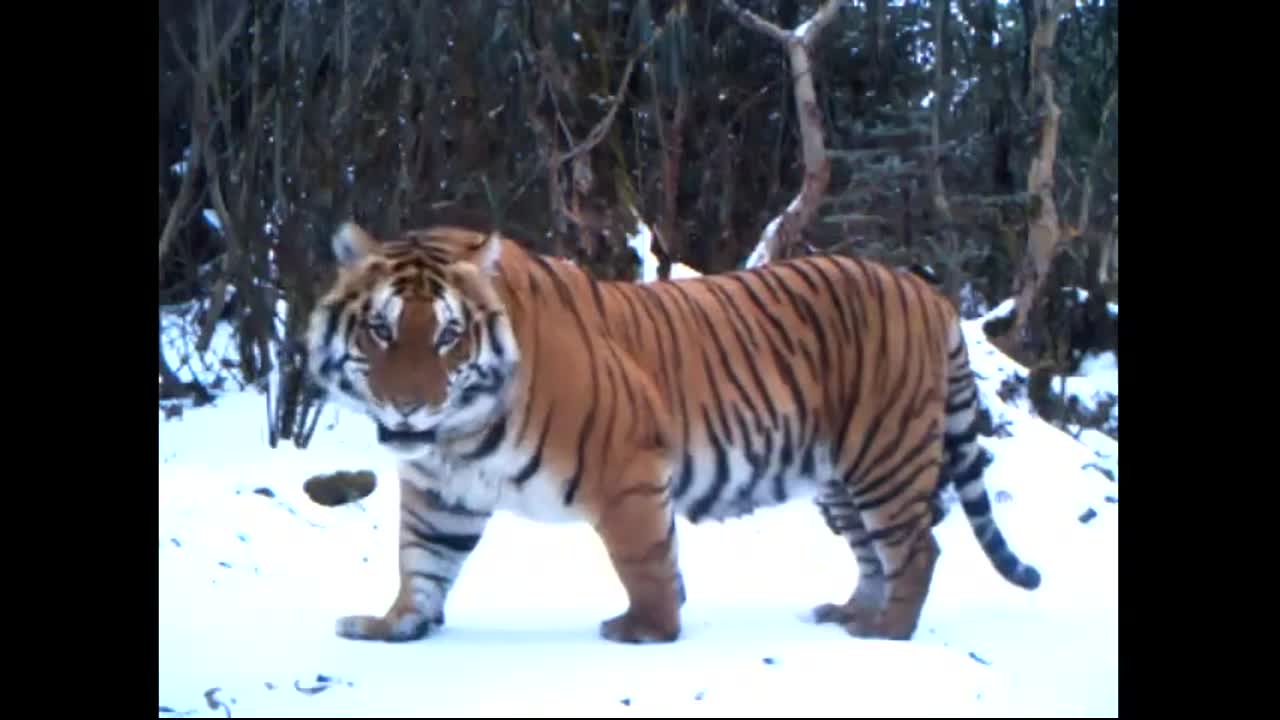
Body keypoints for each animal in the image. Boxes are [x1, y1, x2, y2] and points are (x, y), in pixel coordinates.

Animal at [304, 220, 1041, 644]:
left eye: (448, 335)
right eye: (382, 330)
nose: (406, 408)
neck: (458, 432)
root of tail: (929, 293)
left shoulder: (626, 465)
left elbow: (646, 559)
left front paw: (647, 630)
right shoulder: (441, 490)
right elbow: (422, 560)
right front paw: (393, 624)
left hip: (885, 454)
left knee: (917, 548)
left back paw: (887, 632)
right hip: (840, 476)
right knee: (871, 555)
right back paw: (852, 614)